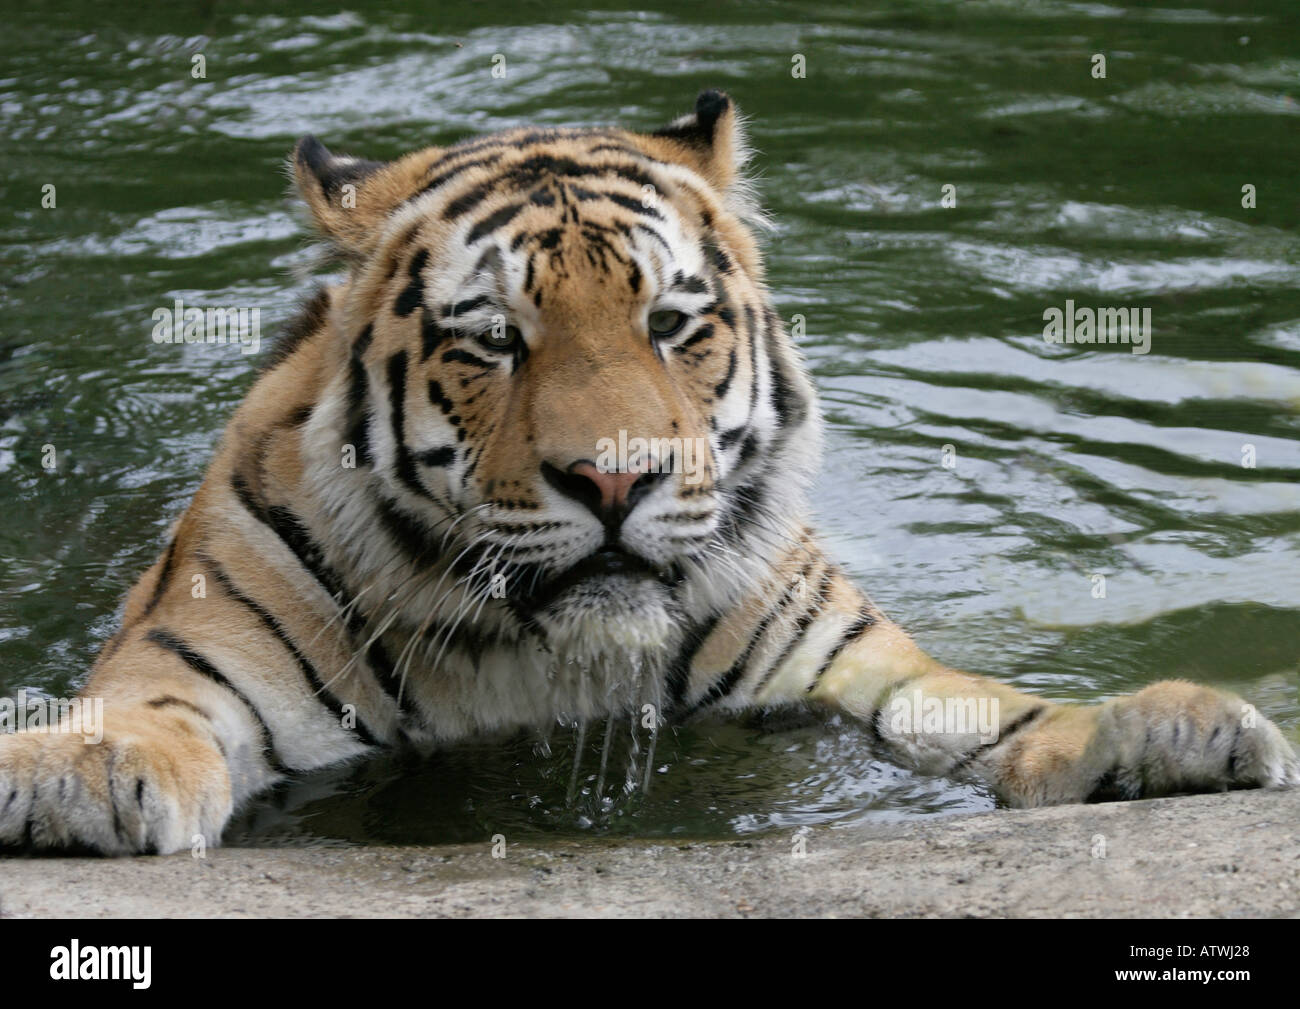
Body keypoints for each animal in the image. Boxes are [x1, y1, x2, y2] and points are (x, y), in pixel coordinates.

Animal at [2, 89, 1295, 856]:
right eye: (493, 337)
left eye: (672, 324)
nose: (615, 482)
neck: (529, 653)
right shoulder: (199, 651)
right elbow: (148, 711)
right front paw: (79, 770)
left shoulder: (841, 664)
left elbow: (983, 710)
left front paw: (1165, 734)